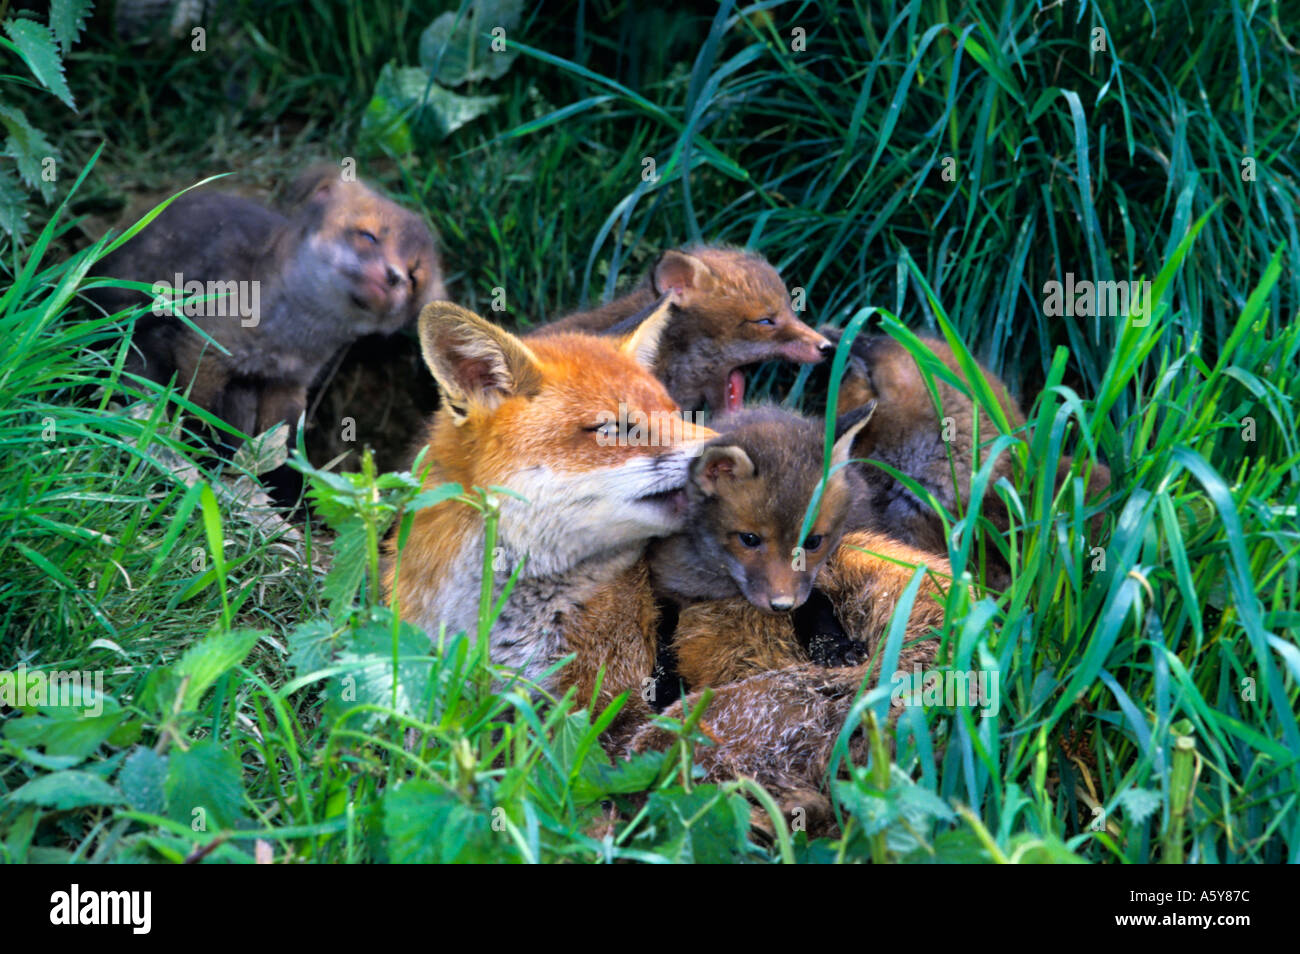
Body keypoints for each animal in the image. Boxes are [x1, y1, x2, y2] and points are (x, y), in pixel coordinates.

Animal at [87, 165, 445, 440]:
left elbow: (282, 442)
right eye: (368, 236)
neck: (280, 342)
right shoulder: (203, 349)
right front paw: (203, 450)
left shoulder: (289, 384)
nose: (394, 277)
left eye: (414, 276)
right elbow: (199, 412)